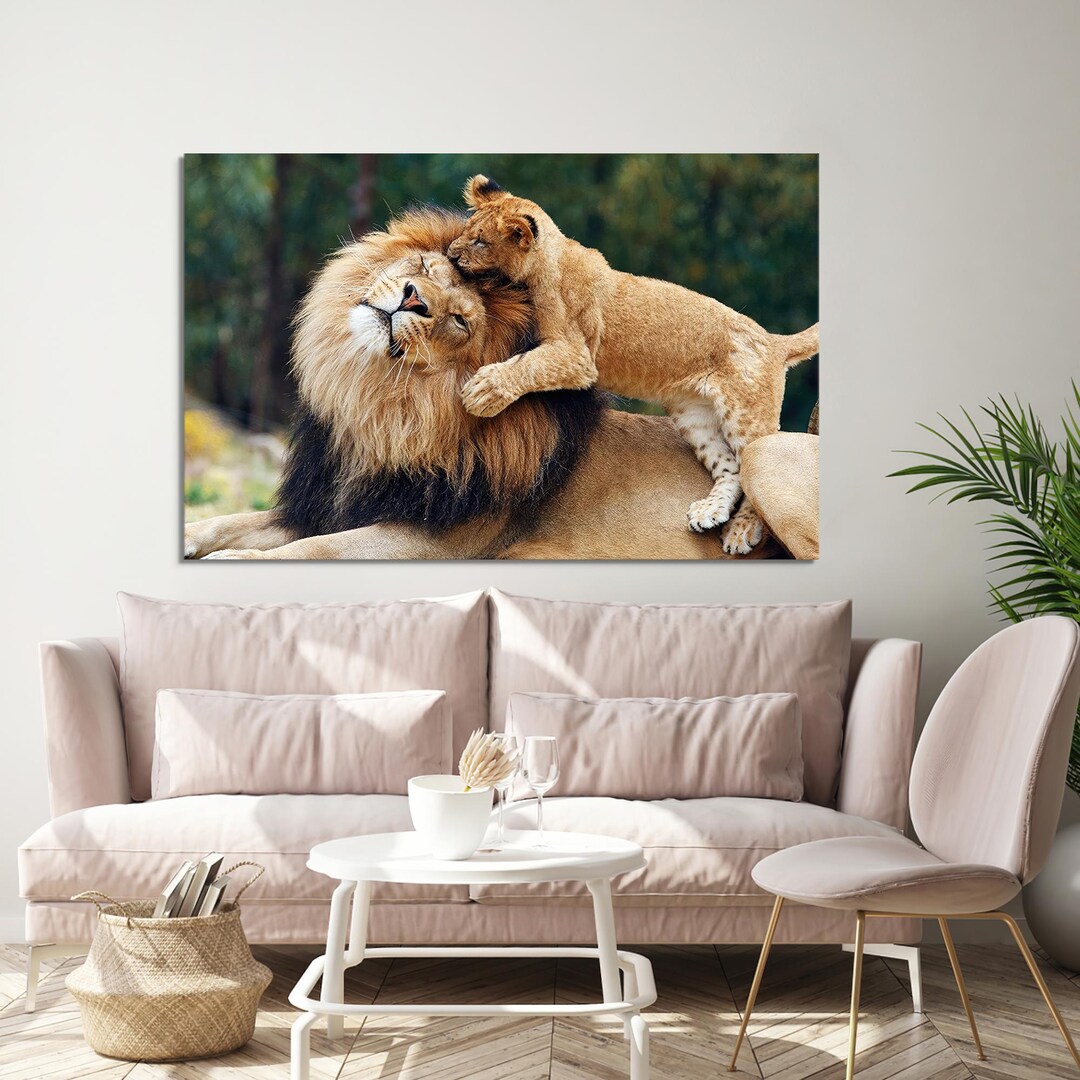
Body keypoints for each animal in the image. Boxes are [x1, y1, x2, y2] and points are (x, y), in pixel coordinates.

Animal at [184, 208, 776, 561]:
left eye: (460, 321)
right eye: (427, 268)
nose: (410, 299)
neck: (385, 411)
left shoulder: (429, 542)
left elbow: (316, 551)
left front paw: (234, 561)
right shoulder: (324, 506)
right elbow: (234, 520)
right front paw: (194, 539)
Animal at [446, 175, 819, 554]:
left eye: (480, 241)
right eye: (468, 231)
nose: (450, 253)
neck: (548, 261)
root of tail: (774, 340)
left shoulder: (578, 357)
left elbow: (530, 364)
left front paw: (483, 392)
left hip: (746, 417)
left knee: (752, 464)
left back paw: (741, 530)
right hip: (694, 417)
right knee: (730, 468)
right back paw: (709, 512)